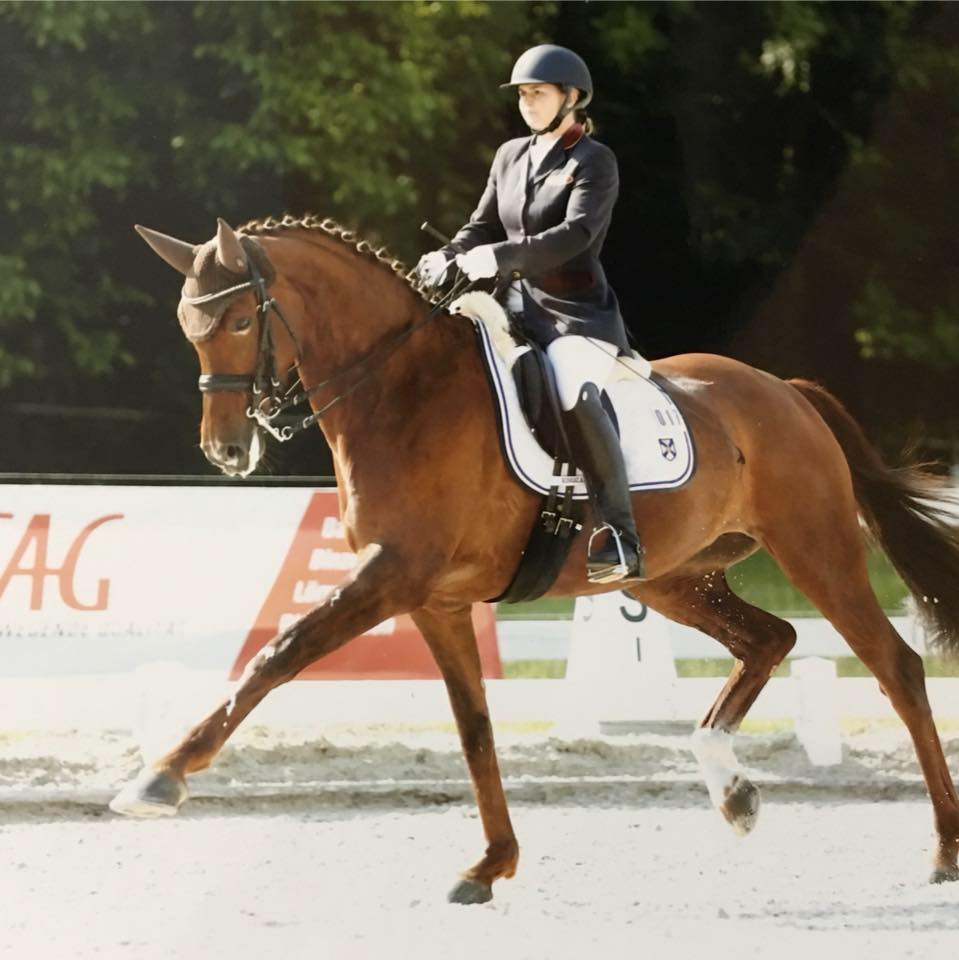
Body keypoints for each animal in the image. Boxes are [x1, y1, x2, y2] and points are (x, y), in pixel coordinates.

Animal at [112, 214, 959, 904]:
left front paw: (162, 775)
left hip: (816, 549)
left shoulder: (392, 576)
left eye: (237, 317)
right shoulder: (436, 600)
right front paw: (490, 865)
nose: (228, 450)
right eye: (188, 324)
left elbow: (279, 654)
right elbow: (475, 729)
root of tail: (783, 390)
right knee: (769, 639)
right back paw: (732, 790)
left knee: (894, 668)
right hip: (672, 577)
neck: (400, 390)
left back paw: (943, 849)